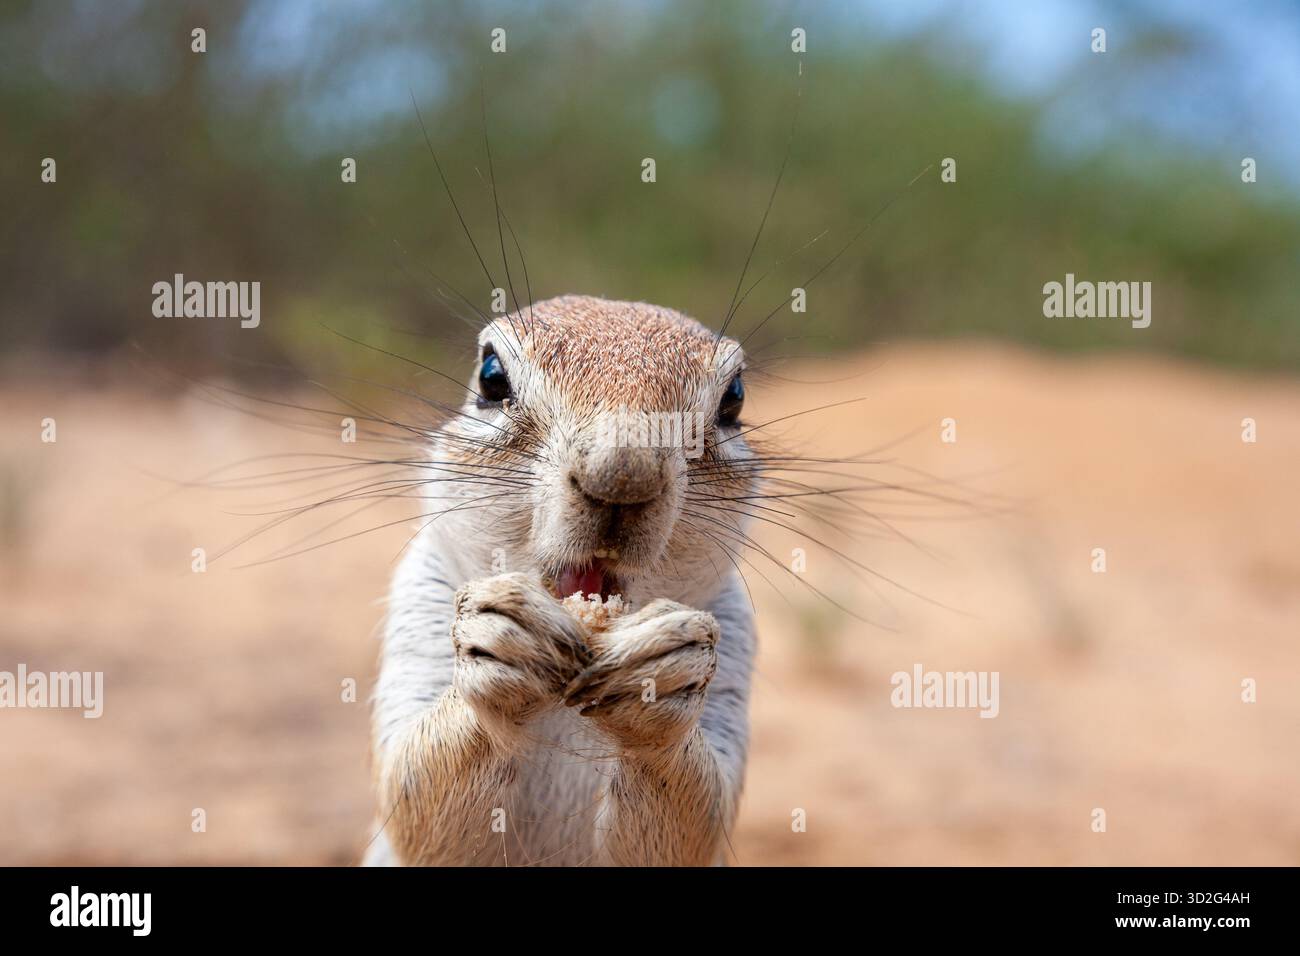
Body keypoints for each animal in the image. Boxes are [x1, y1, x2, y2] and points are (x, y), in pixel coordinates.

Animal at [364, 294, 757, 866]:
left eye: (734, 399)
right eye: (491, 376)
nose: (622, 476)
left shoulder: (735, 631)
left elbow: (696, 824)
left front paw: (663, 666)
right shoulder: (421, 594)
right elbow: (414, 802)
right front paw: (501, 635)